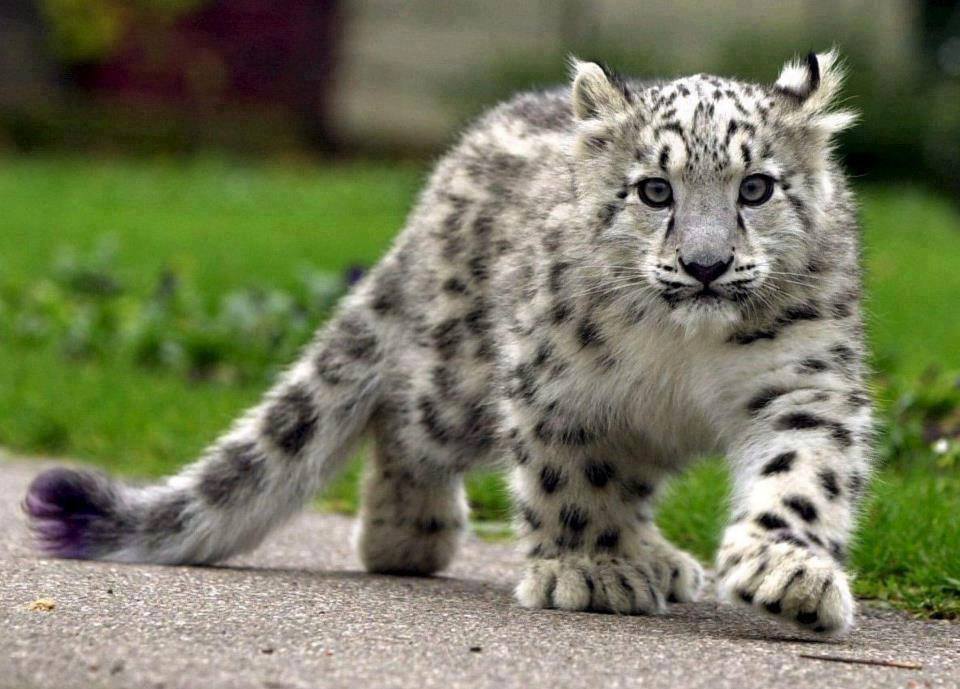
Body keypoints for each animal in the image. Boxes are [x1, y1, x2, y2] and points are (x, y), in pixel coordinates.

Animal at [24, 50, 873, 637]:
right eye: (653, 190)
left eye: (756, 187)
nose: (705, 265)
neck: (685, 353)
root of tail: (432, 192)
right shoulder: (560, 384)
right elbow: (574, 480)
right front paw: (593, 569)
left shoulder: (807, 383)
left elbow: (801, 473)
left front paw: (786, 570)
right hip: (456, 383)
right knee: (402, 419)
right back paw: (407, 534)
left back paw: (658, 556)